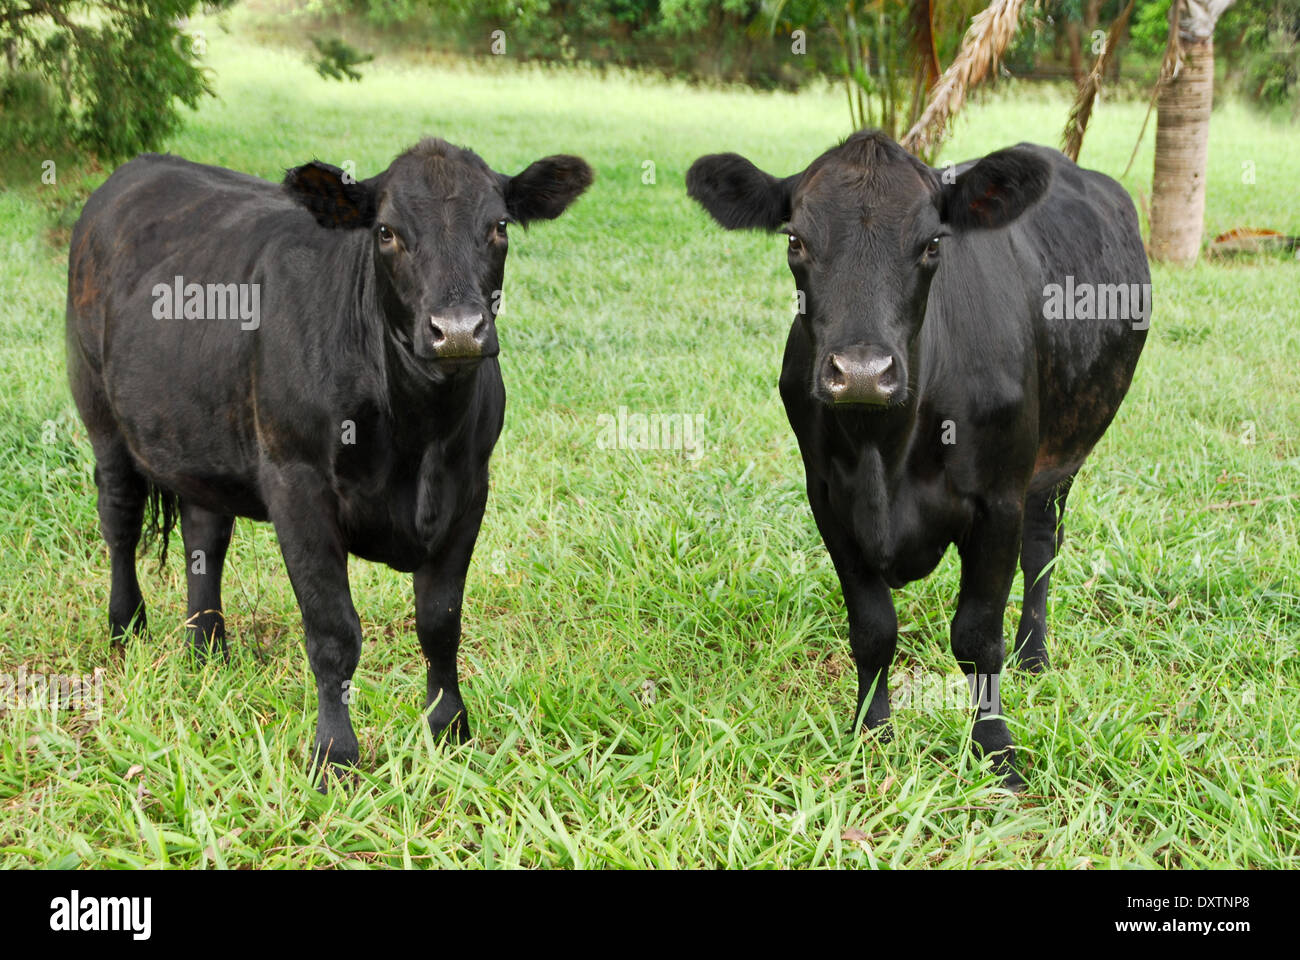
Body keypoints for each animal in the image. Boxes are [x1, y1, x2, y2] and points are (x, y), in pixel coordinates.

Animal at [67, 138, 593, 776]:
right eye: (387, 232)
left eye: (499, 226)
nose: (458, 330)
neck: (418, 434)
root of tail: (139, 167)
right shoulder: (296, 485)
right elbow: (333, 630)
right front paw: (334, 755)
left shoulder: (470, 489)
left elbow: (440, 623)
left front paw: (450, 731)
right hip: (98, 408)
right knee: (119, 519)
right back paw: (125, 629)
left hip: (199, 432)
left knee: (204, 537)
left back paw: (207, 650)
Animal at [687, 130, 1148, 790]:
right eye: (795, 240)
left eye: (932, 243)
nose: (861, 372)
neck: (885, 451)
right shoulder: (827, 500)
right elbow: (873, 629)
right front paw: (871, 734)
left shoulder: (999, 501)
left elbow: (977, 636)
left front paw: (996, 751)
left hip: (1062, 457)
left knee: (1043, 550)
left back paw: (1034, 654)